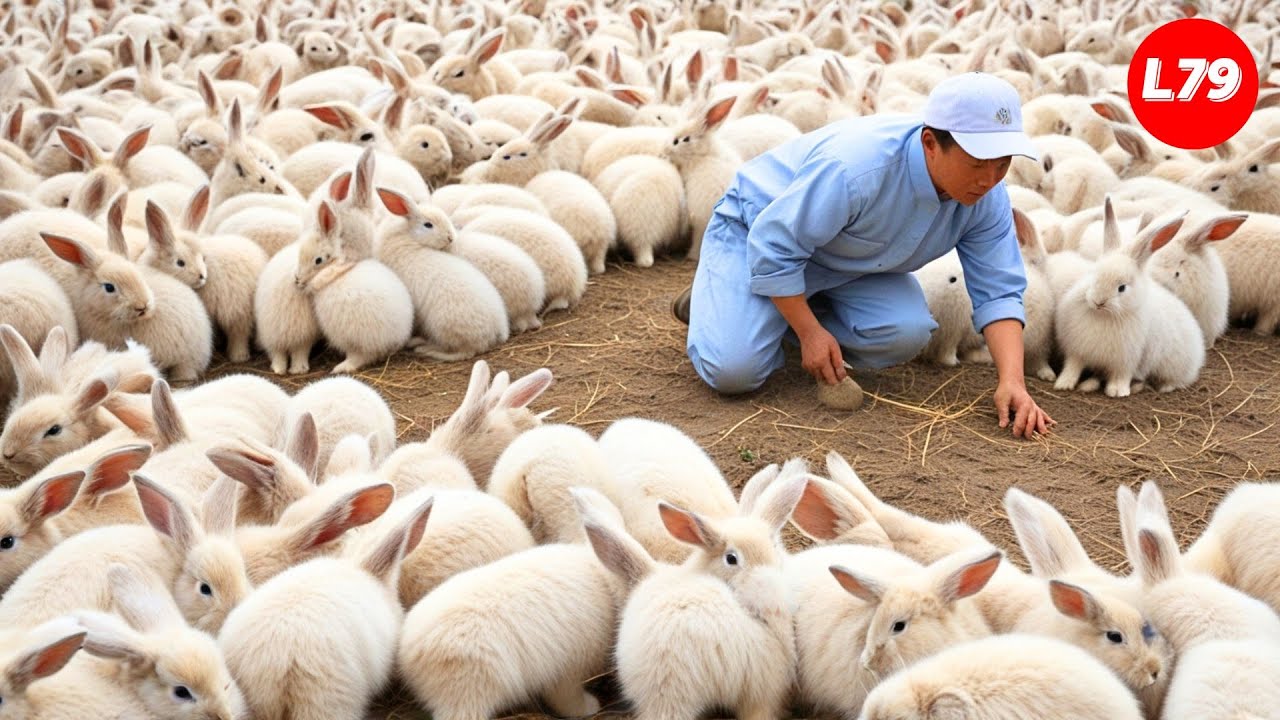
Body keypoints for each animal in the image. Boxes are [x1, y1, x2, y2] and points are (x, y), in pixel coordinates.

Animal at [301, 200, 414, 374]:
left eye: (318, 260)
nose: (297, 279)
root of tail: (396, 337)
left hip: (351, 337)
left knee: (361, 356)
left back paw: (341, 367)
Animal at [373, 188, 510, 361]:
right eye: (428, 225)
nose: (450, 237)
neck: (409, 237)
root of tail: (496, 332)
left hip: (443, 327)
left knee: (463, 352)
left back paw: (426, 349)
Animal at [1054, 199, 1203, 397]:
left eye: (1122, 287)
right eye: (1094, 274)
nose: (1098, 301)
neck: (1104, 316)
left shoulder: (1127, 361)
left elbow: (1122, 375)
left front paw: (1117, 391)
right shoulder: (1077, 352)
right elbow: (1072, 368)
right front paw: (1063, 384)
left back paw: (1161, 387)